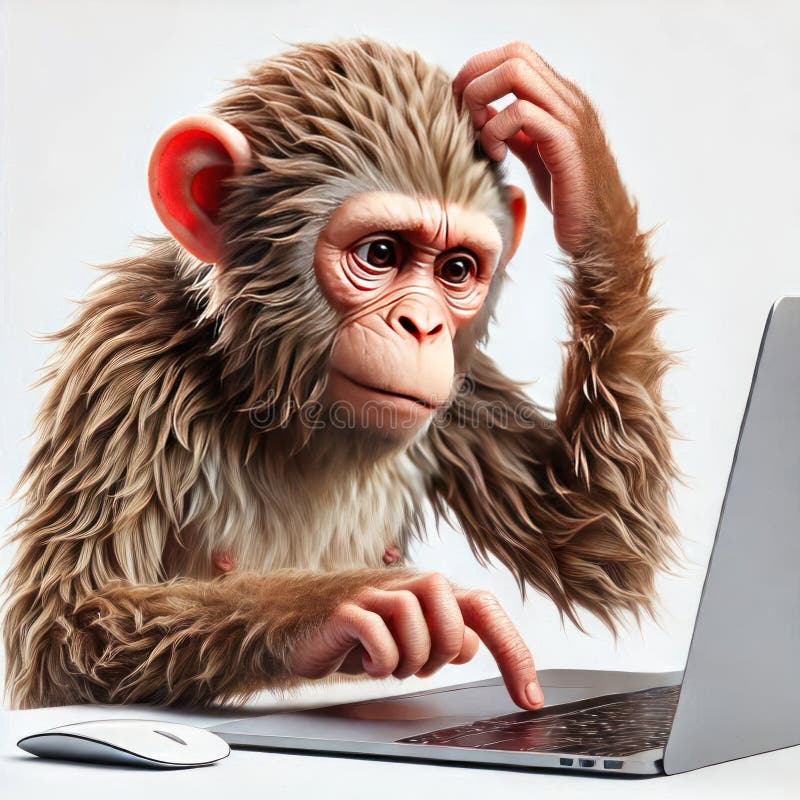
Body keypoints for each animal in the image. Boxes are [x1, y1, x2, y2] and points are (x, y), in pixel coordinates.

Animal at [2, 39, 678, 710]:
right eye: (381, 253)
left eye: (457, 270)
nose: (422, 325)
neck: (276, 403)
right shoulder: (124, 358)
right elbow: (68, 625)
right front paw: (342, 606)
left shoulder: (463, 388)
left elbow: (592, 537)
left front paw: (574, 156)